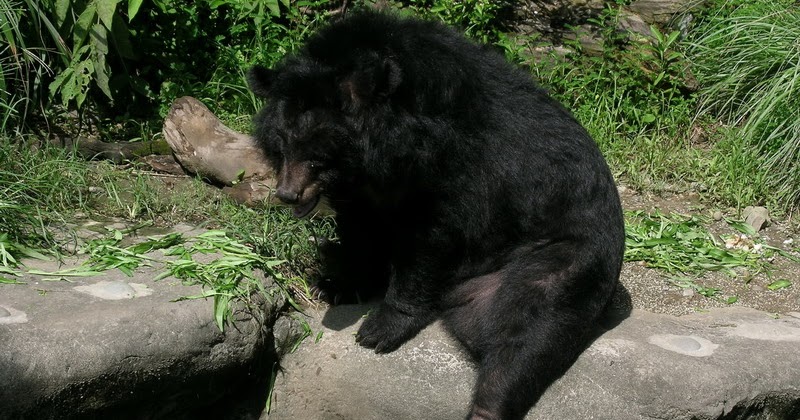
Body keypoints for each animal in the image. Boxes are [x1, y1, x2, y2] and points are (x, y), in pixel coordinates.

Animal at [247, 10, 625, 420]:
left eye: (317, 157)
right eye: (281, 147)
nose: (287, 194)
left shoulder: (456, 168)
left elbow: (431, 238)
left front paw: (379, 329)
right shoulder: (362, 189)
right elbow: (361, 232)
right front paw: (335, 284)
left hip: (564, 258)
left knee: (529, 331)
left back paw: (487, 406)